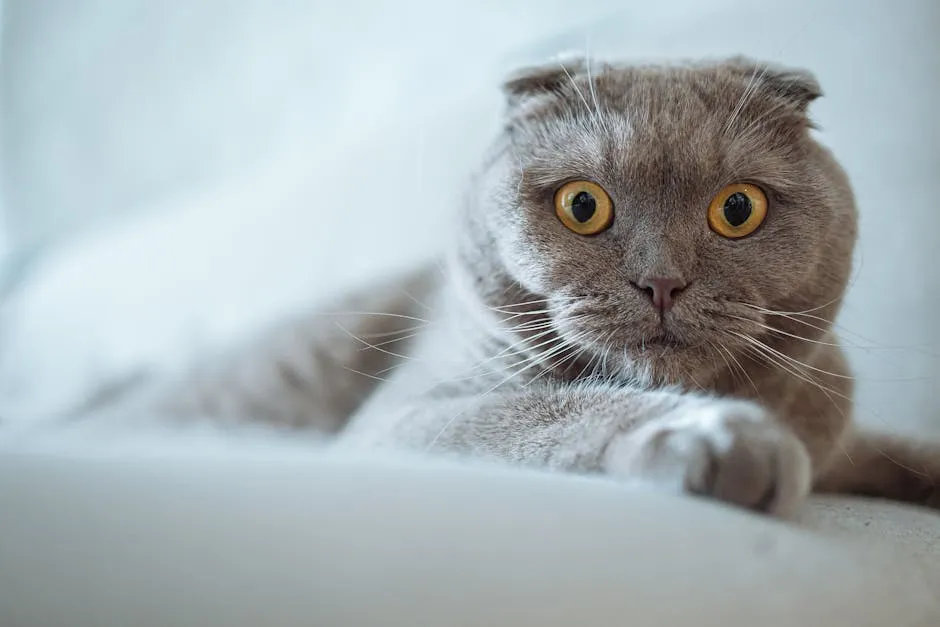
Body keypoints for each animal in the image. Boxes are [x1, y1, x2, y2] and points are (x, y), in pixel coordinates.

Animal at [86, 56, 932, 516]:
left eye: (738, 208)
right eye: (583, 205)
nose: (662, 280)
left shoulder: (839, 429)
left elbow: (905, 450)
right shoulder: (404, 417)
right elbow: (551, 409)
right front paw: (719, 437)